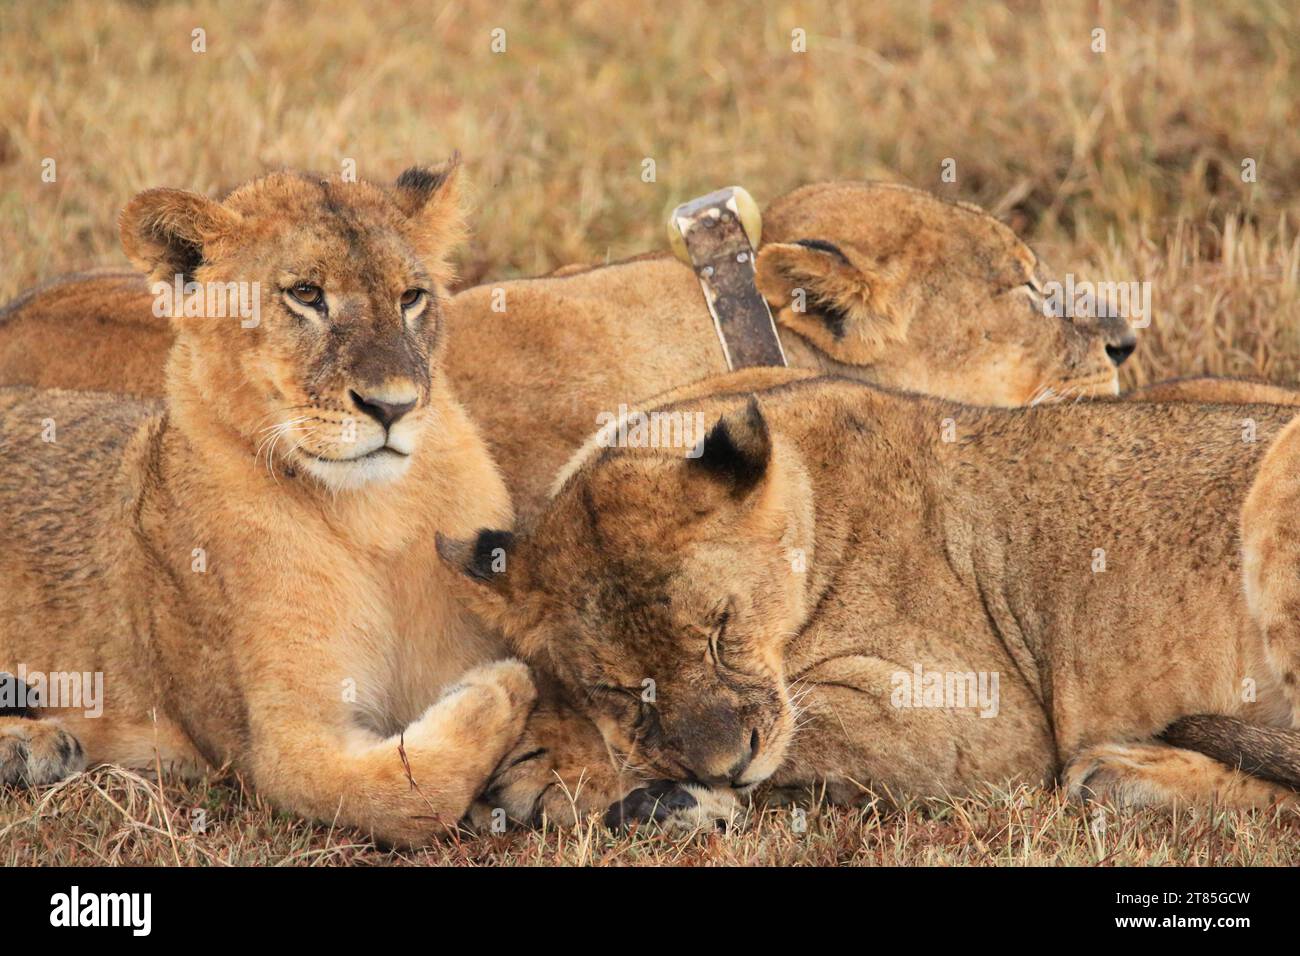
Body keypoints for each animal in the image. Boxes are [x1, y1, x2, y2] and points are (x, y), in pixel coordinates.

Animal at [0, 160, 577, 846]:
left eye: (411, 297)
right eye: (306, 294)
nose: (393, 406)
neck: (375, 519)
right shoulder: (276, 748)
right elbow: (408, 792)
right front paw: (500, 688)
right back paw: (33, 744)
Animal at [441, 369, 1300, 817]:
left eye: (721, 629)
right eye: (621, 688)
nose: (727, 768)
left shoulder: (981, 718)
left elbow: (801, 735)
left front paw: (555, 769)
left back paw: (1125, 774)